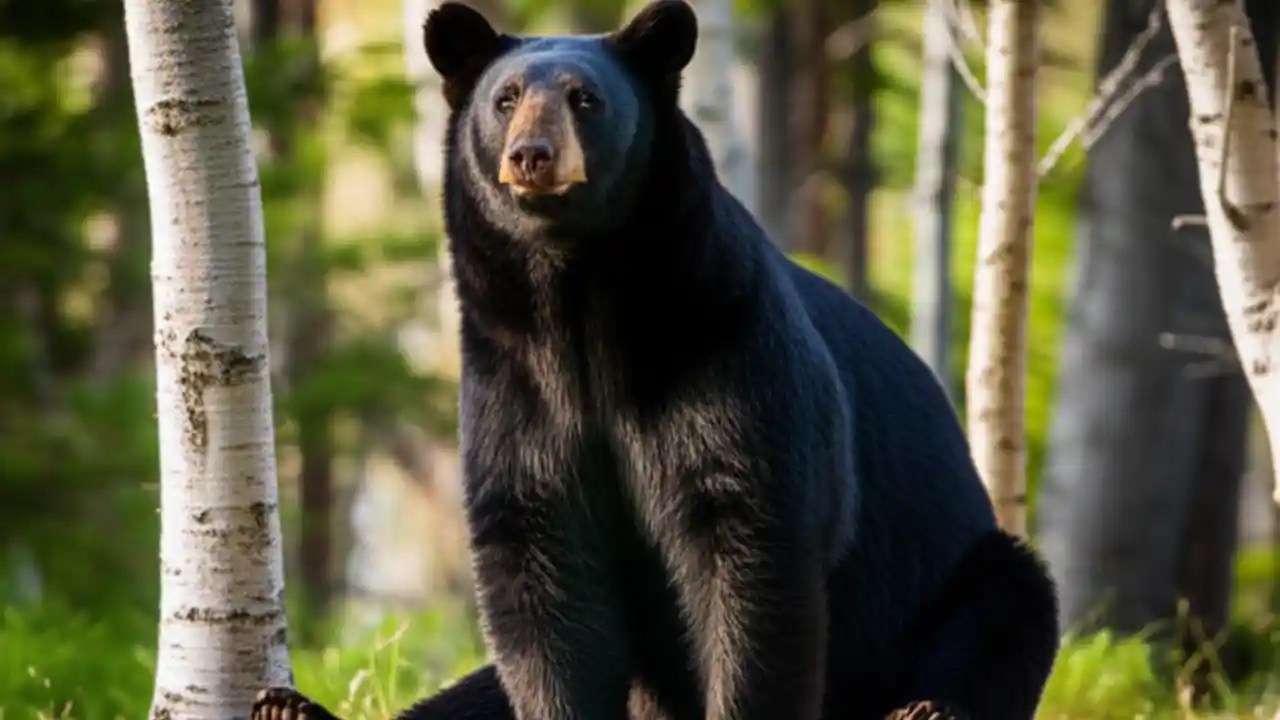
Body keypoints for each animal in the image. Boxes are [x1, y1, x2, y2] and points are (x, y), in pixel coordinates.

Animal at [253, 2, 1060, 719]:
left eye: (586, 99)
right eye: (504, 99)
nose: (531, 156)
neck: (577, 301)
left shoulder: (724, 345)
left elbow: (752, 557)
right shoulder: (510, 381)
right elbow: (539, 574)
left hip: (950, 586)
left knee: (1010, 608)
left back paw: (927, 709)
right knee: (470, 694)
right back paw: (289, 706)